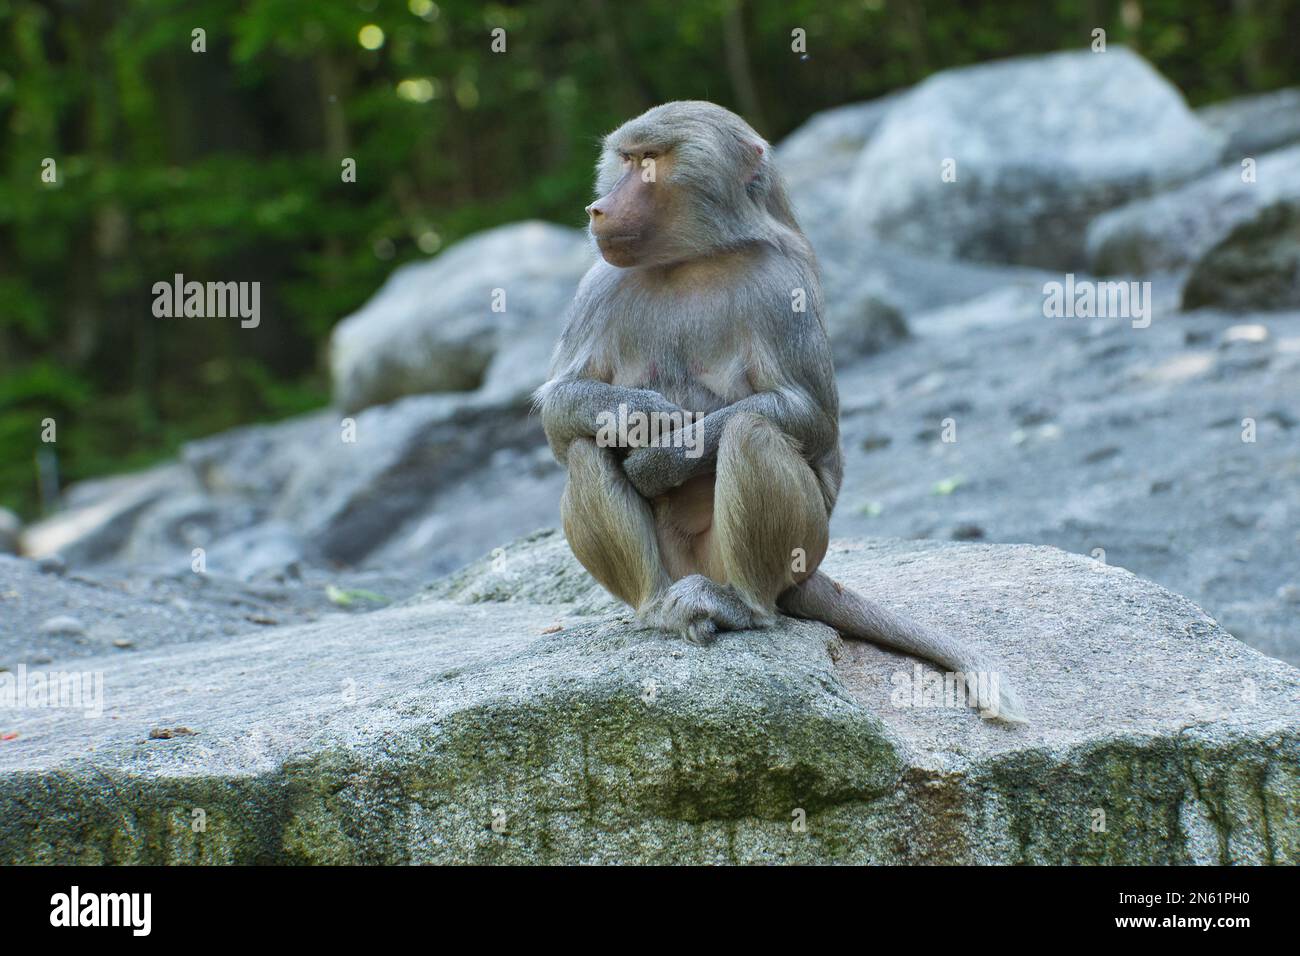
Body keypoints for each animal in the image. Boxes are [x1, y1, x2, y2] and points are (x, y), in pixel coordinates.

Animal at [535, 101, 1026, 724]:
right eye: (625, 159)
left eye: (650, 162)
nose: (598, 209)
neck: (689, 261)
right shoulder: (598, 284)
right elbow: (559, 411)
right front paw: (640, 416)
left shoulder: (780, 284)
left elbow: (809, 415)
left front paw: (664, 455)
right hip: (677, 563)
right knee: (585, 446)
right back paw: (656, 608)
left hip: (800, 546)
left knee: (752, 432)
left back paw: (741, 607)